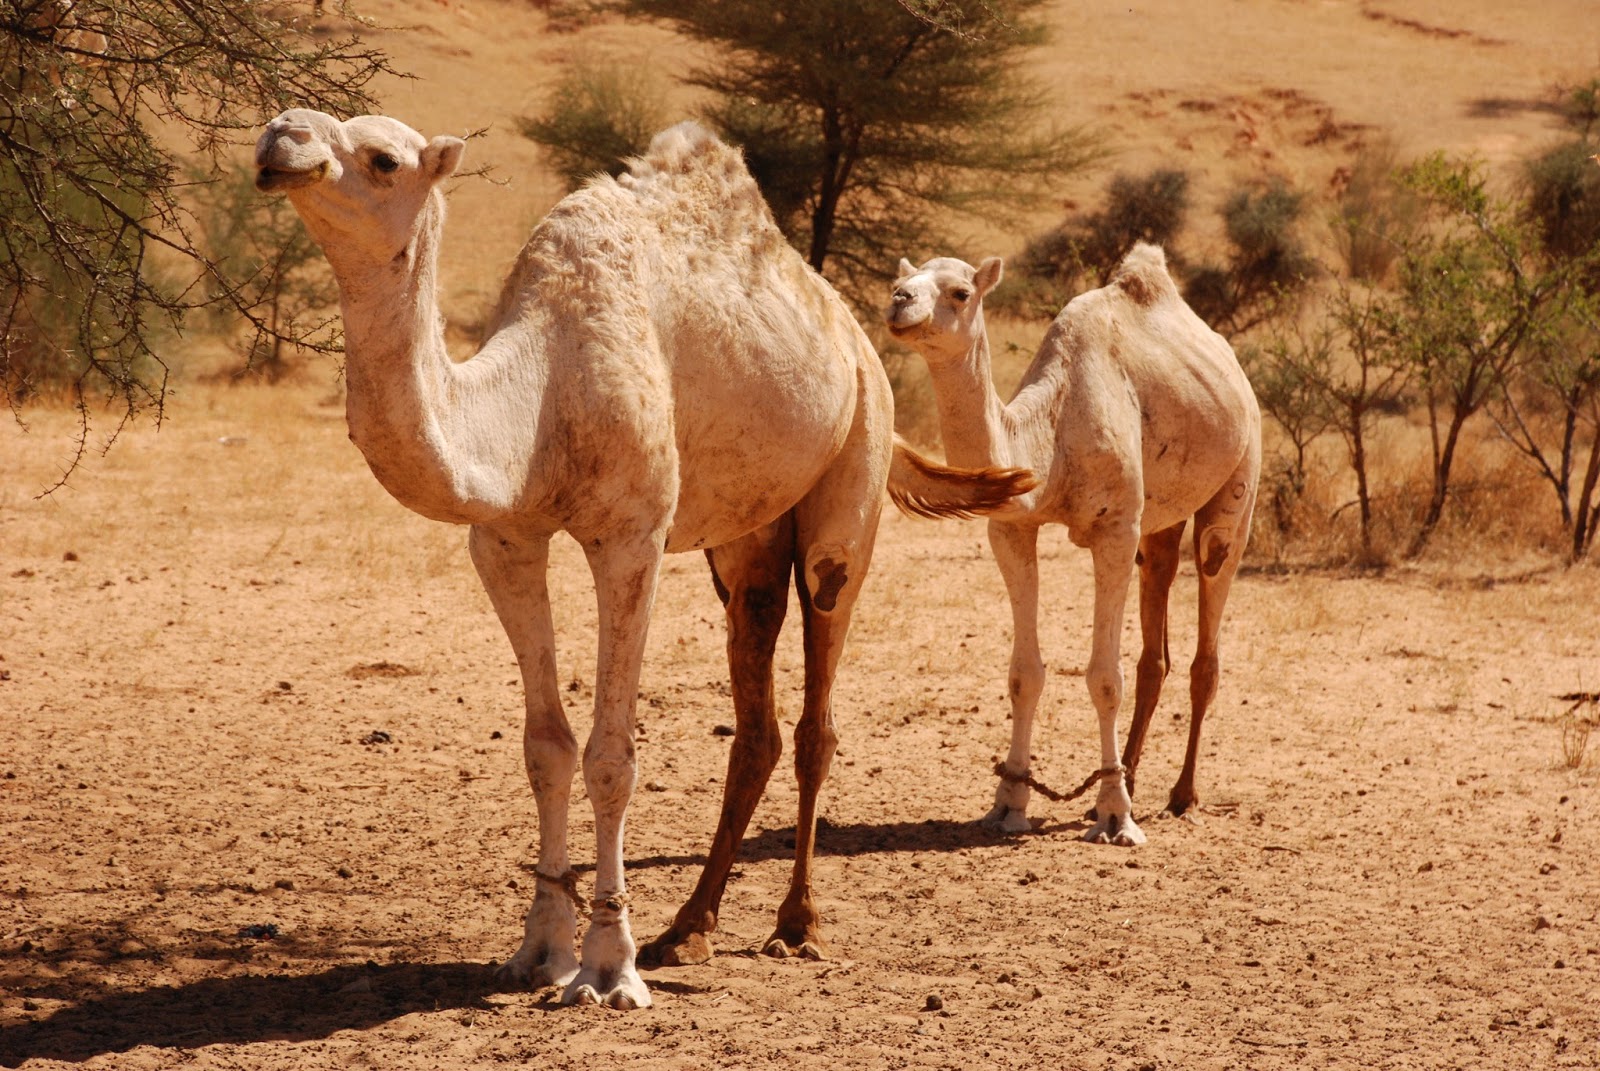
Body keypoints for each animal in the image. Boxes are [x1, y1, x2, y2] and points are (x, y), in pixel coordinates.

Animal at [254, 109, 1030, 1009]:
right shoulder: (505, 540)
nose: (281, 137)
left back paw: (795, 924)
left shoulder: (632, 536)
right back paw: (688, 926)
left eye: (382, 158)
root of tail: (855, 336)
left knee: (818, 710)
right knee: (757, 719)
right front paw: (539, 950)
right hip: (745, 548)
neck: (539, 389)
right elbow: (546, 747)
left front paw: (606, 965)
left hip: (850, 487)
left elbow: (611, 755)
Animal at [884, 244, 1261, 846]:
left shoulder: (1114, 531)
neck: (1052, 436)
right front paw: (1009, 802)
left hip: (1237, 486)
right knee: (1156, 639)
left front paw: (1116, 818)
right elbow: (1025, 674)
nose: (899, 302)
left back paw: (1181, 795)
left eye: (961, 292)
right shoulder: (1011, 528)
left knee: (1209, 623)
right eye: (903, 278)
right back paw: (1128, 777)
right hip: (1158, 525)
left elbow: (1105, 678)